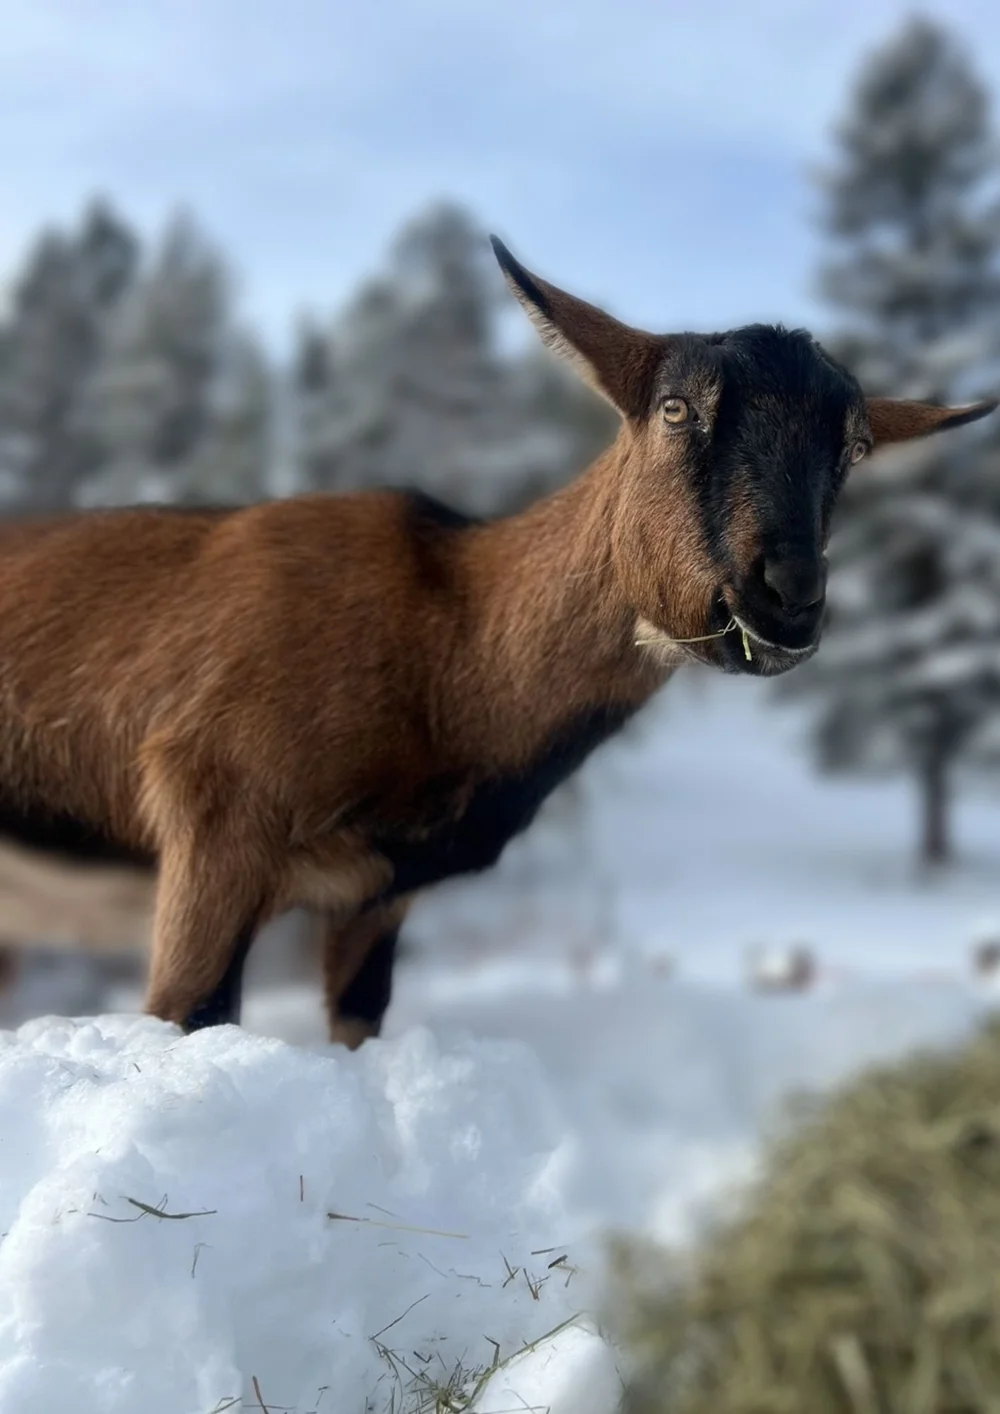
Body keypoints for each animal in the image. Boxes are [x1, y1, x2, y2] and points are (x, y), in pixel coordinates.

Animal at [0, 235, 994, 1045]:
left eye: (854, 447)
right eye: (676, 409)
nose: (786, 597)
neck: (445, 651)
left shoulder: (376, 893)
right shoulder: (211, 816)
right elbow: (184, 1011)